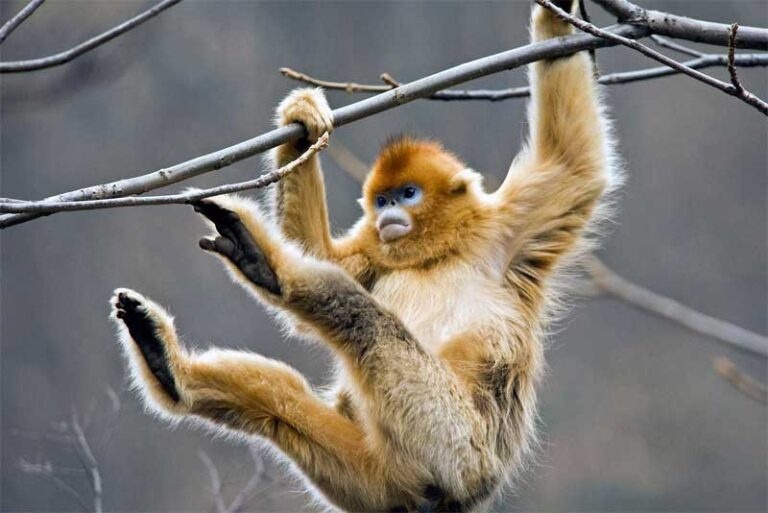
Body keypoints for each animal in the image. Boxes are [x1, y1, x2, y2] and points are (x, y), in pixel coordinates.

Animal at [111, 2, 618, 511]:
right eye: (382, 199)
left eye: (408, 194)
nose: (389, 213)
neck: (436, 253)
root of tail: (437, 496)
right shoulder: (378, 250)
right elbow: (320, 253)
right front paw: (301, 130)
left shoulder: (511, 230)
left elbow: (574, 163)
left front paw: (561, 21)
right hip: (370, 475)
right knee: (286, 397)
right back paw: (172, 366)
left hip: (451, 443)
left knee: (363, 321)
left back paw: (269, 271)